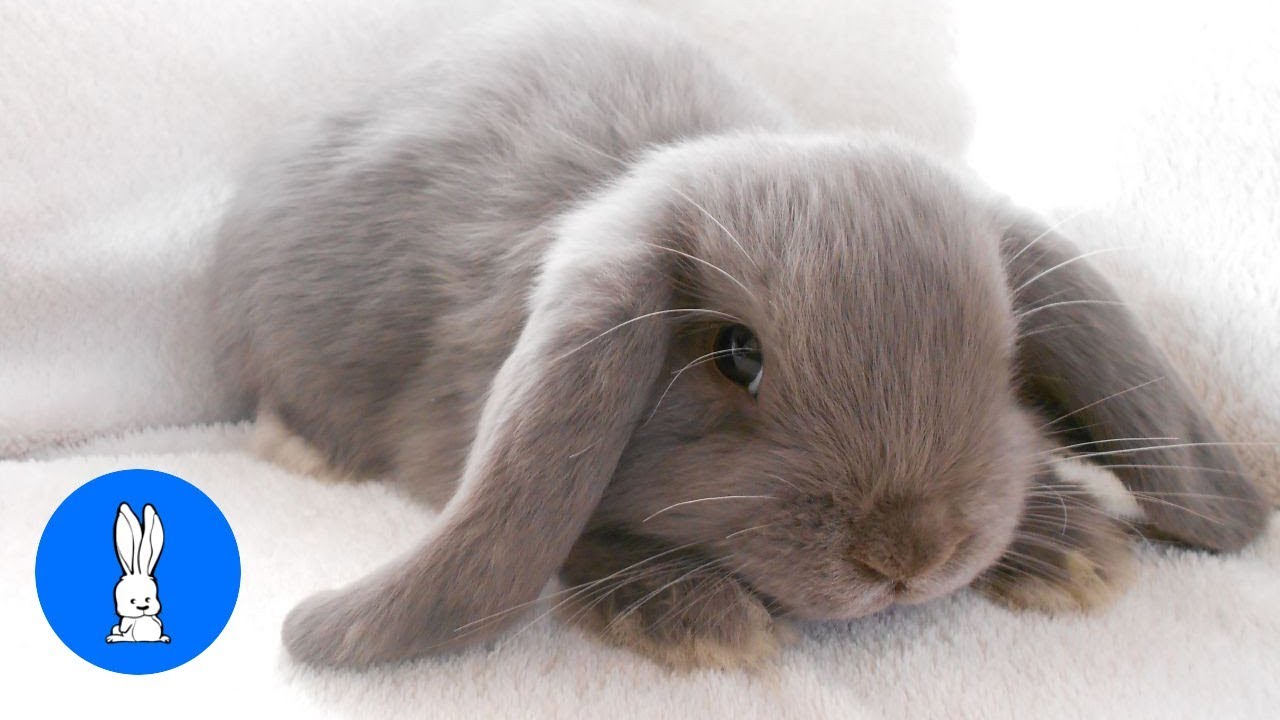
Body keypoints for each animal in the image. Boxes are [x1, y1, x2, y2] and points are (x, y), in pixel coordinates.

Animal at [106, 503, 170, 644]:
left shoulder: (128, 621)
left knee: (126, 638)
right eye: (132, 601)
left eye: (148, 599)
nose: (143, 607)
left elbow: (125, 625)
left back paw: (115, 637)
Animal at [208, 3, 1268, 669]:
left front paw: (1064, 550)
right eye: (736, 355)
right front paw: (690, 619)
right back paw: (302, 448)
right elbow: (572, 526)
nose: (909, 556)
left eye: (1007, 358)